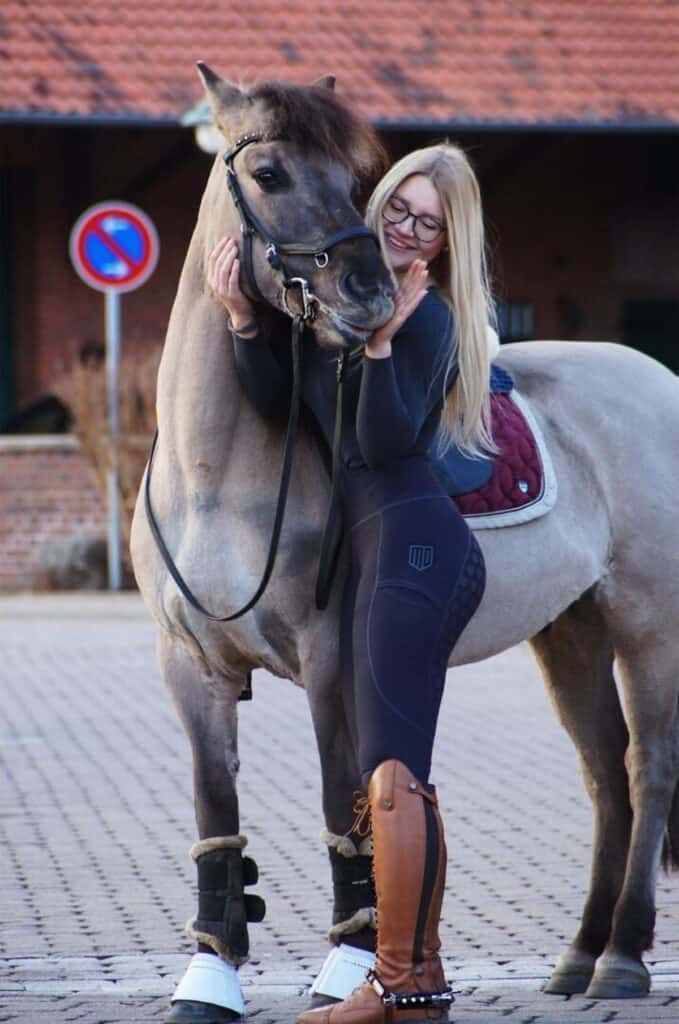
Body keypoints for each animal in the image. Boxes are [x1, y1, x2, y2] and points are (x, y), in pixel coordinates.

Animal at [130, 65, 679, 1023]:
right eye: (268, 173)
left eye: (355, 182)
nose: (369, 296)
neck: (214, 478)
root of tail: (659, 380)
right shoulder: (189, 666)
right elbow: (214, 815)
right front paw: (209, 983)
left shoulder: (327, 658)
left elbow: (341, 799)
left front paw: (346, 970)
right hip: (570, 632)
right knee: (602, 776)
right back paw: (576, 957)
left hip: (646, 626)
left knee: (646, 771)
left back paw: (621, 956)